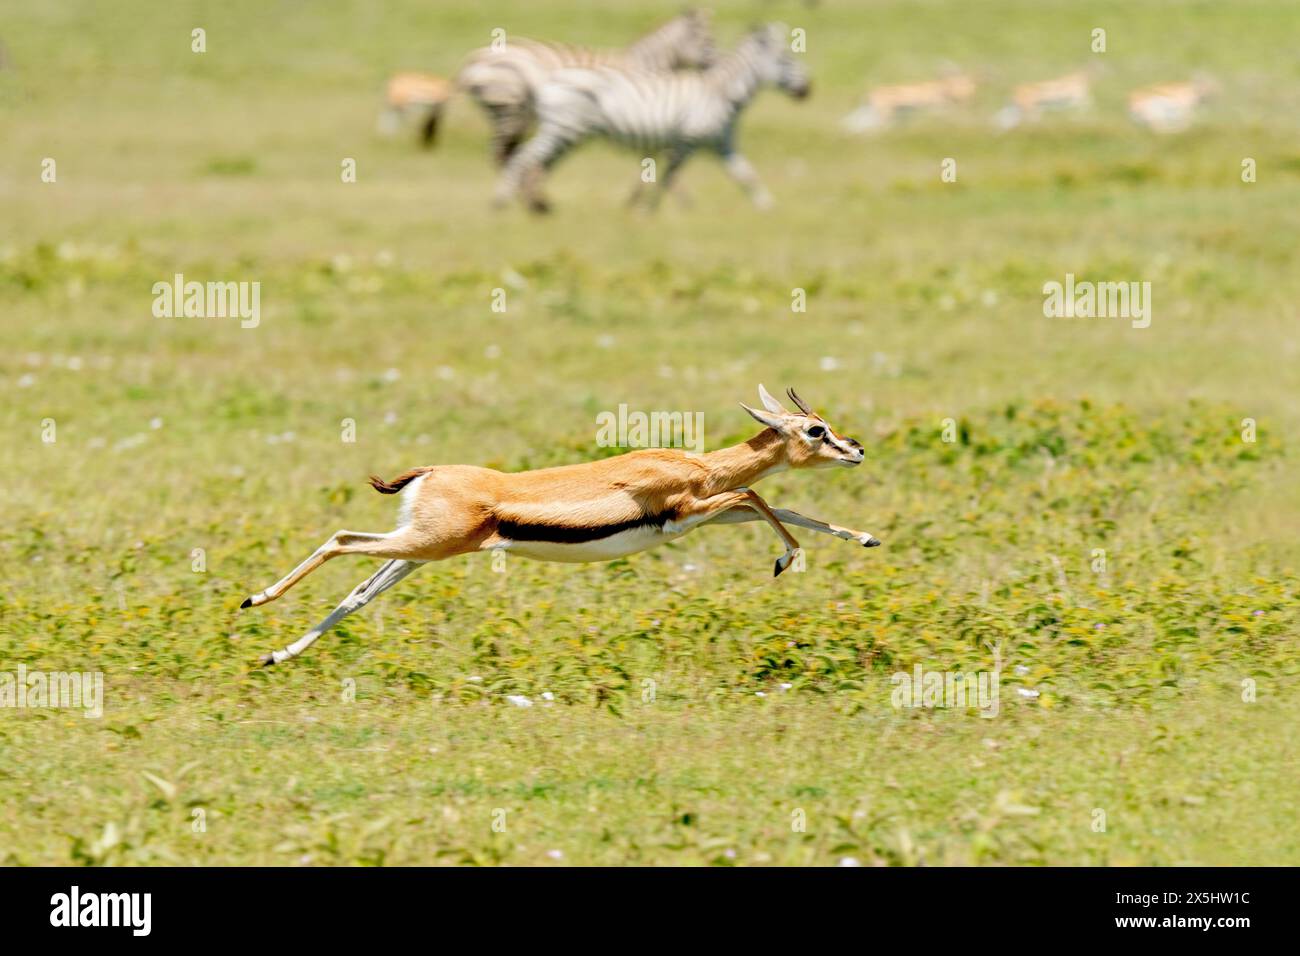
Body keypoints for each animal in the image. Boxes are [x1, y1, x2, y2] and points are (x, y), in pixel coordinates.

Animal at [242, 387, 881, 666]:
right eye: (815, 430)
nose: (856, 449)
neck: (695, 465)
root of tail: (432, 472)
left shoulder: (705, 518)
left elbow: (780, 507)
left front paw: (866, 537)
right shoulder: (693, 512)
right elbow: (757, 493)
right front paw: (784, 560)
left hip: (420, 553)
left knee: (357, 592)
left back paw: (278, 654)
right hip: (426, 544)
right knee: (342, 540)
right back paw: (253, 600)